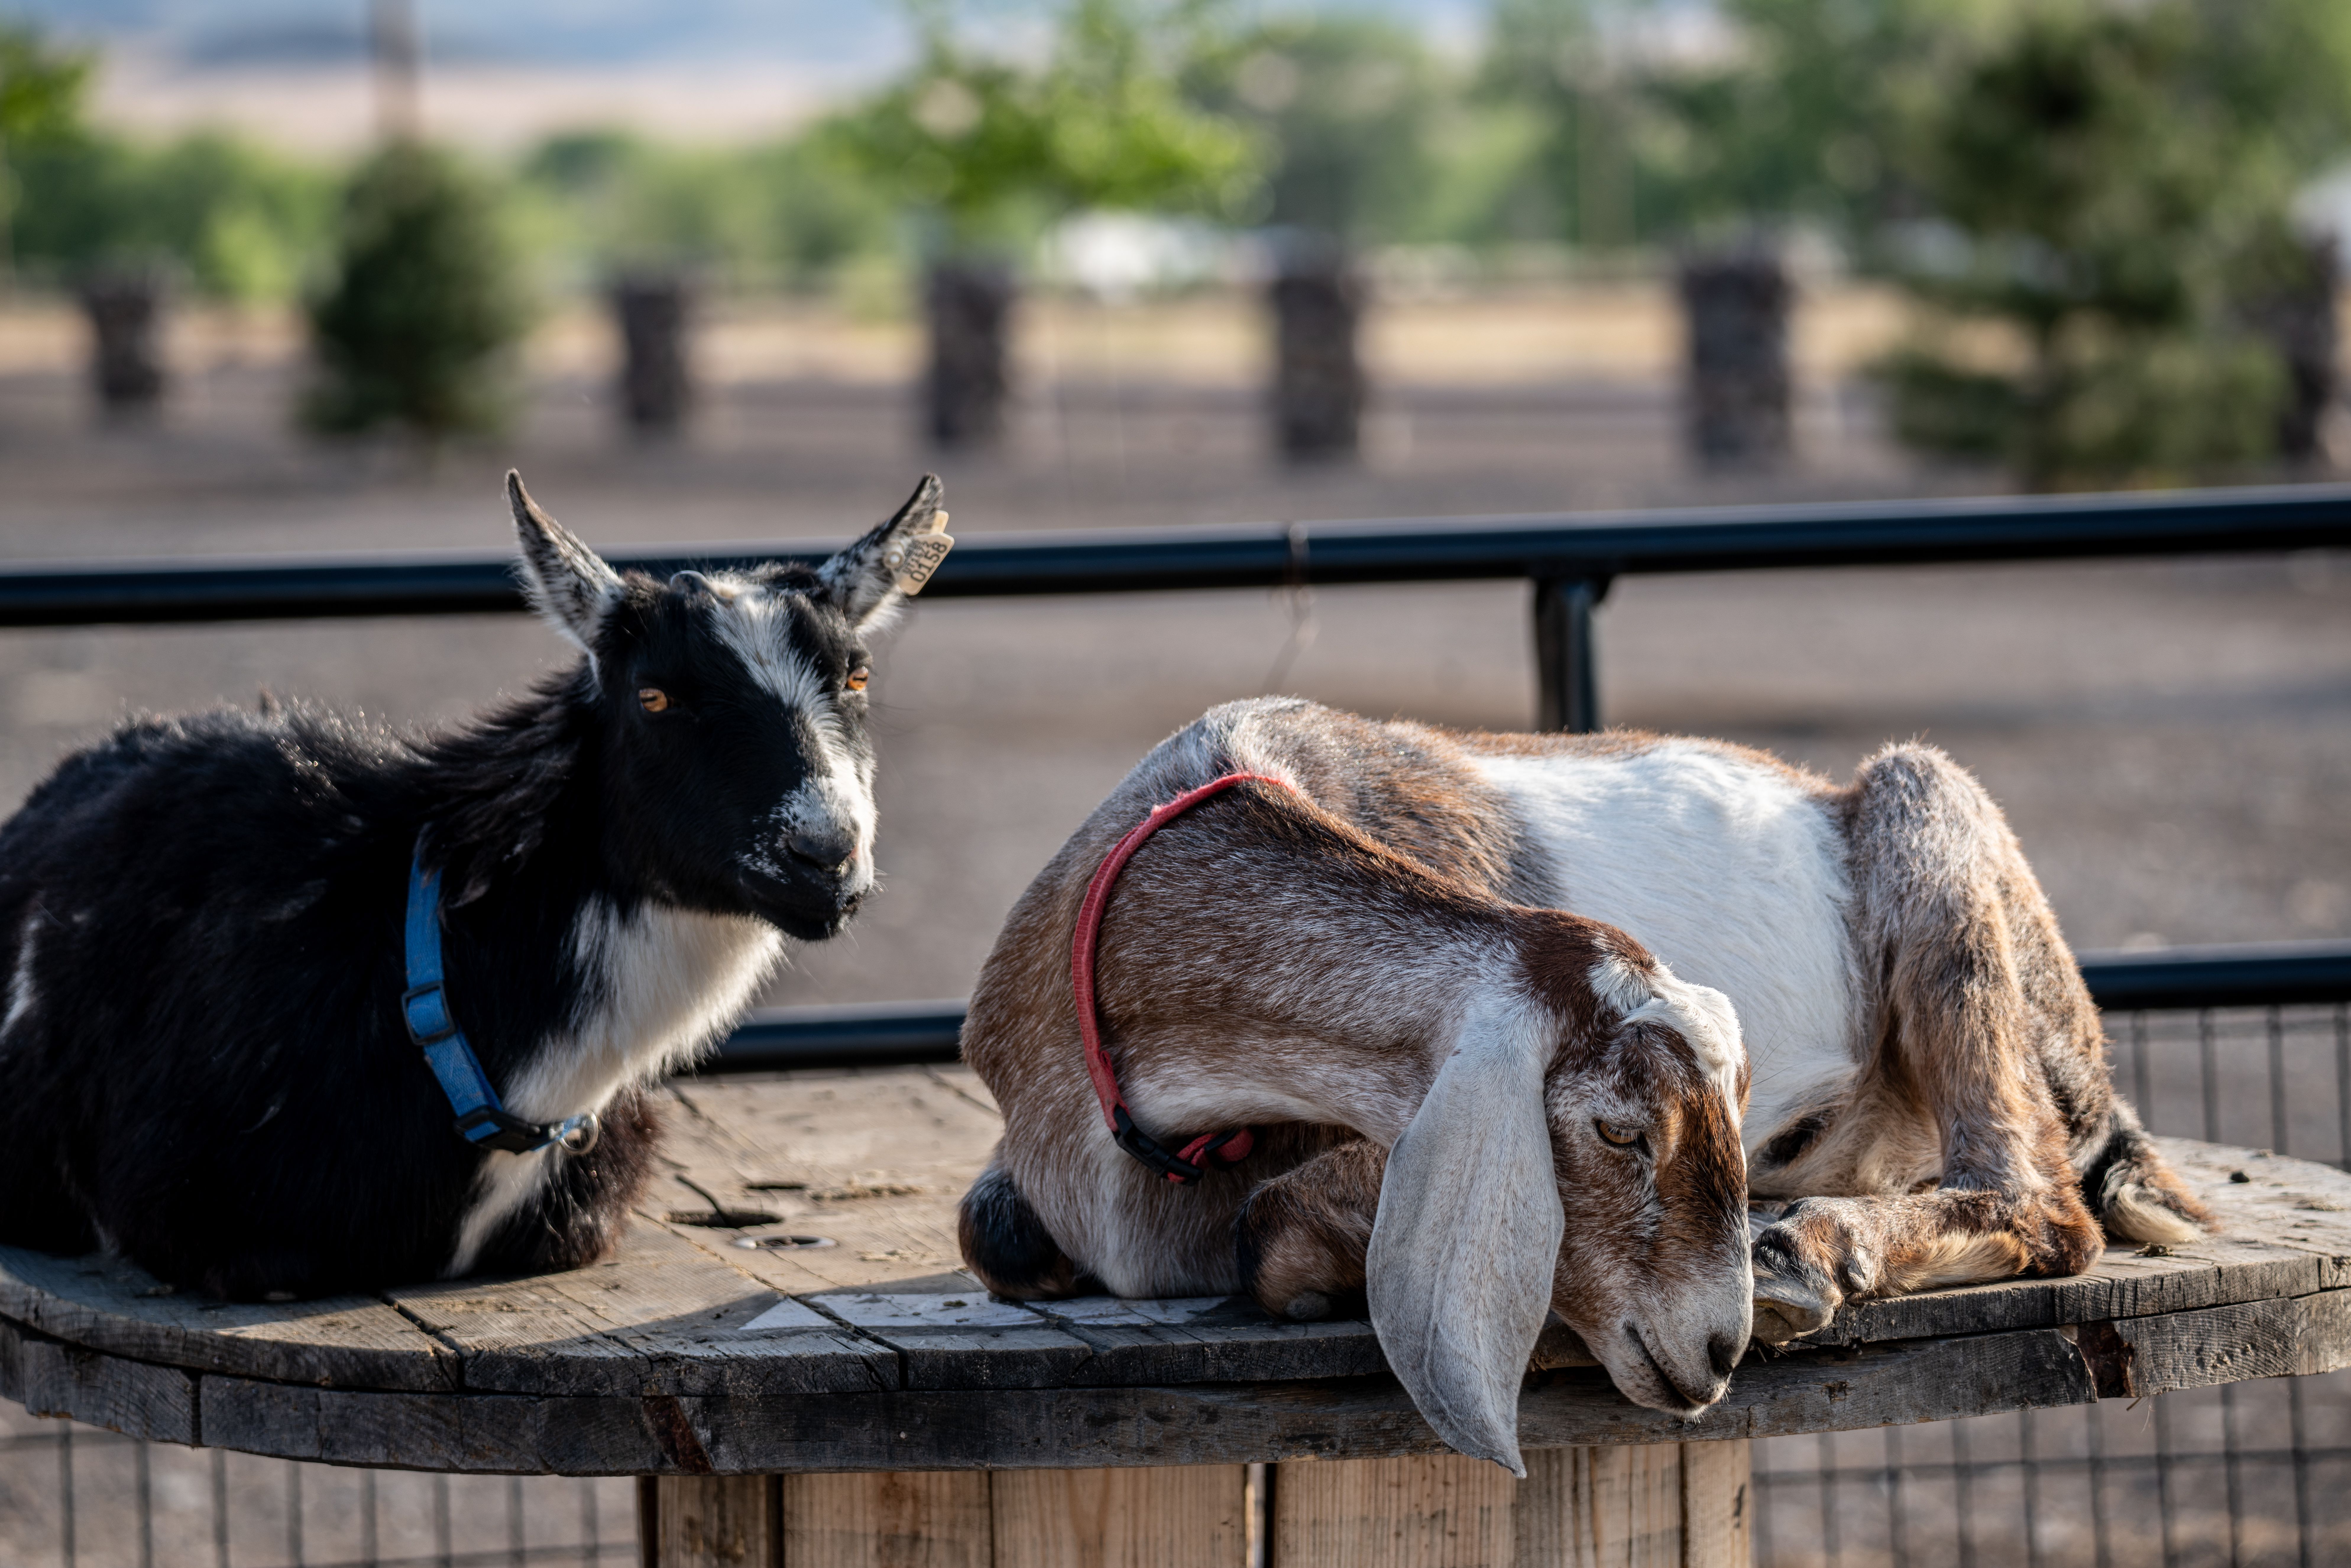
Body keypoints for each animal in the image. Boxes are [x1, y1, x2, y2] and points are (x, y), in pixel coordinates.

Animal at [958, 698, 2210, 1473]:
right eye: (1619, 1132)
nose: (1713, 1344)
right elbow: (992, 1230)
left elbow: (1269, 1222)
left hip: (1931, 829)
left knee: (2043, 1203)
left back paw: (1806, 1248)